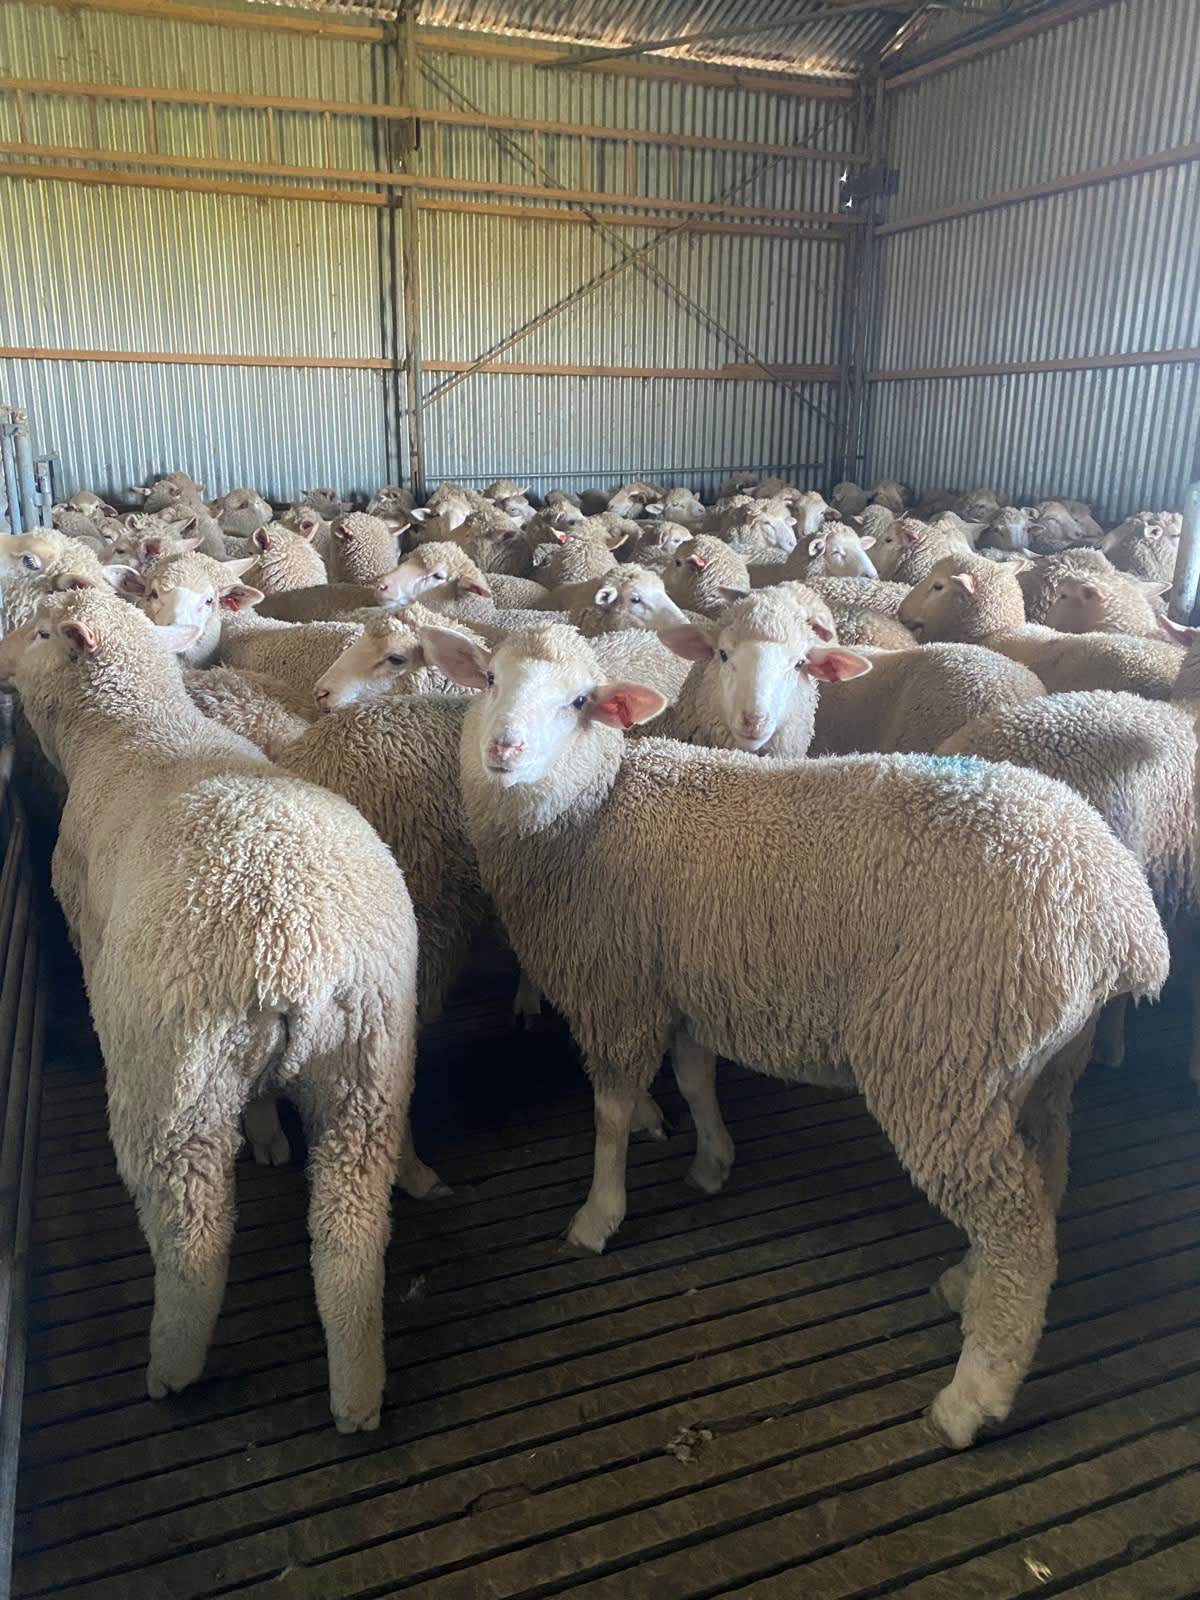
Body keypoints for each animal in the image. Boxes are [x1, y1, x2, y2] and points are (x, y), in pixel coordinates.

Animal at [9, 588, 441, 1433]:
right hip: (365, 1064)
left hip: (175, 1085)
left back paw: (171, 1367)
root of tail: (295, 955)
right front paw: (270, 1135)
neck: (131, 733)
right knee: (349, 1234)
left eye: (40, 633)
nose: (2, 660)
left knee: (194, 1242)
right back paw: (357, 1392)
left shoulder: (85, 927)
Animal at [419, 618, 1167, 1447]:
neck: (592, 812)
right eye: (489, 679)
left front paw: (597, 1217)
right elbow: (694, 1078)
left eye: (580, 701)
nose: (504, 748)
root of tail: (1118, 911)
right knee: (1044, 1178)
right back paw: (967, 1284)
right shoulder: (688, 980)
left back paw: (968, 1399)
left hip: (944, 1056)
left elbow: (611, 1115)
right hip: (1036, 1067)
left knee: (1019, 1228)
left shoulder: (618, 991)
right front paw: (712, 1161)